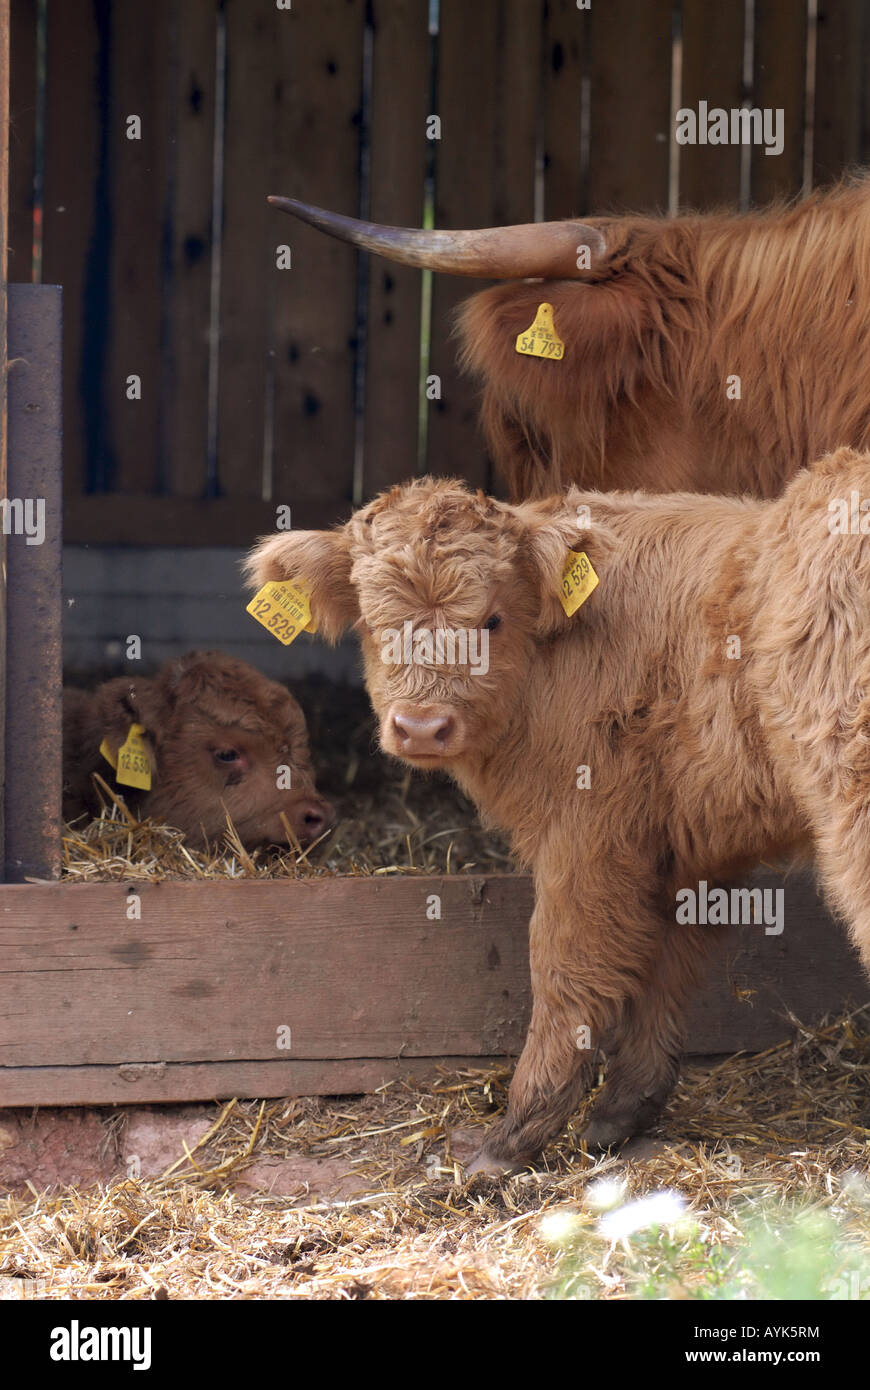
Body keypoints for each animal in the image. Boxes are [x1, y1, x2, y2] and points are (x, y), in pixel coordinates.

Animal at [246, 449, 870, 1171]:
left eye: (492, 620)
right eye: (374, 625)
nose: (422, 726)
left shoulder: (588, 832)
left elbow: (564, 967)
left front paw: (512, 1138)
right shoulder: (683, 842)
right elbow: (667, 967)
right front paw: (621, 1113)